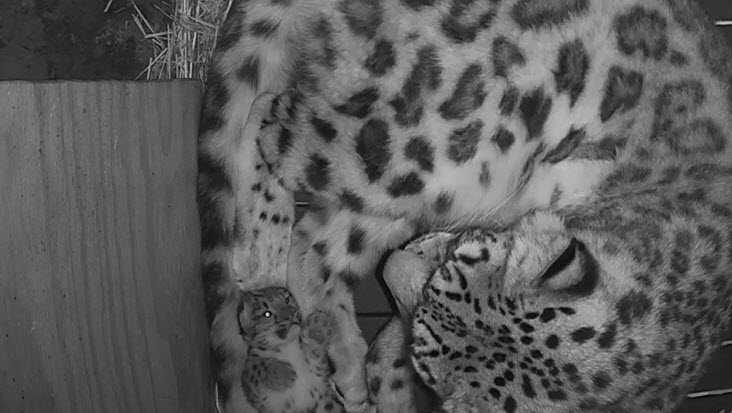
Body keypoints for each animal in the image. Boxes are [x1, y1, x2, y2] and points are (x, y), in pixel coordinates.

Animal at [196, 0, 732, 411]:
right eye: (460, 260)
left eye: (428, 365)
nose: (393, 269)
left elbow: (389, 347)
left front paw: (386, 384)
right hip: (420, 146)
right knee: (268, 112)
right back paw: (258, 257)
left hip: (418, 190)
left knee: (313, 248)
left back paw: (344, 363)